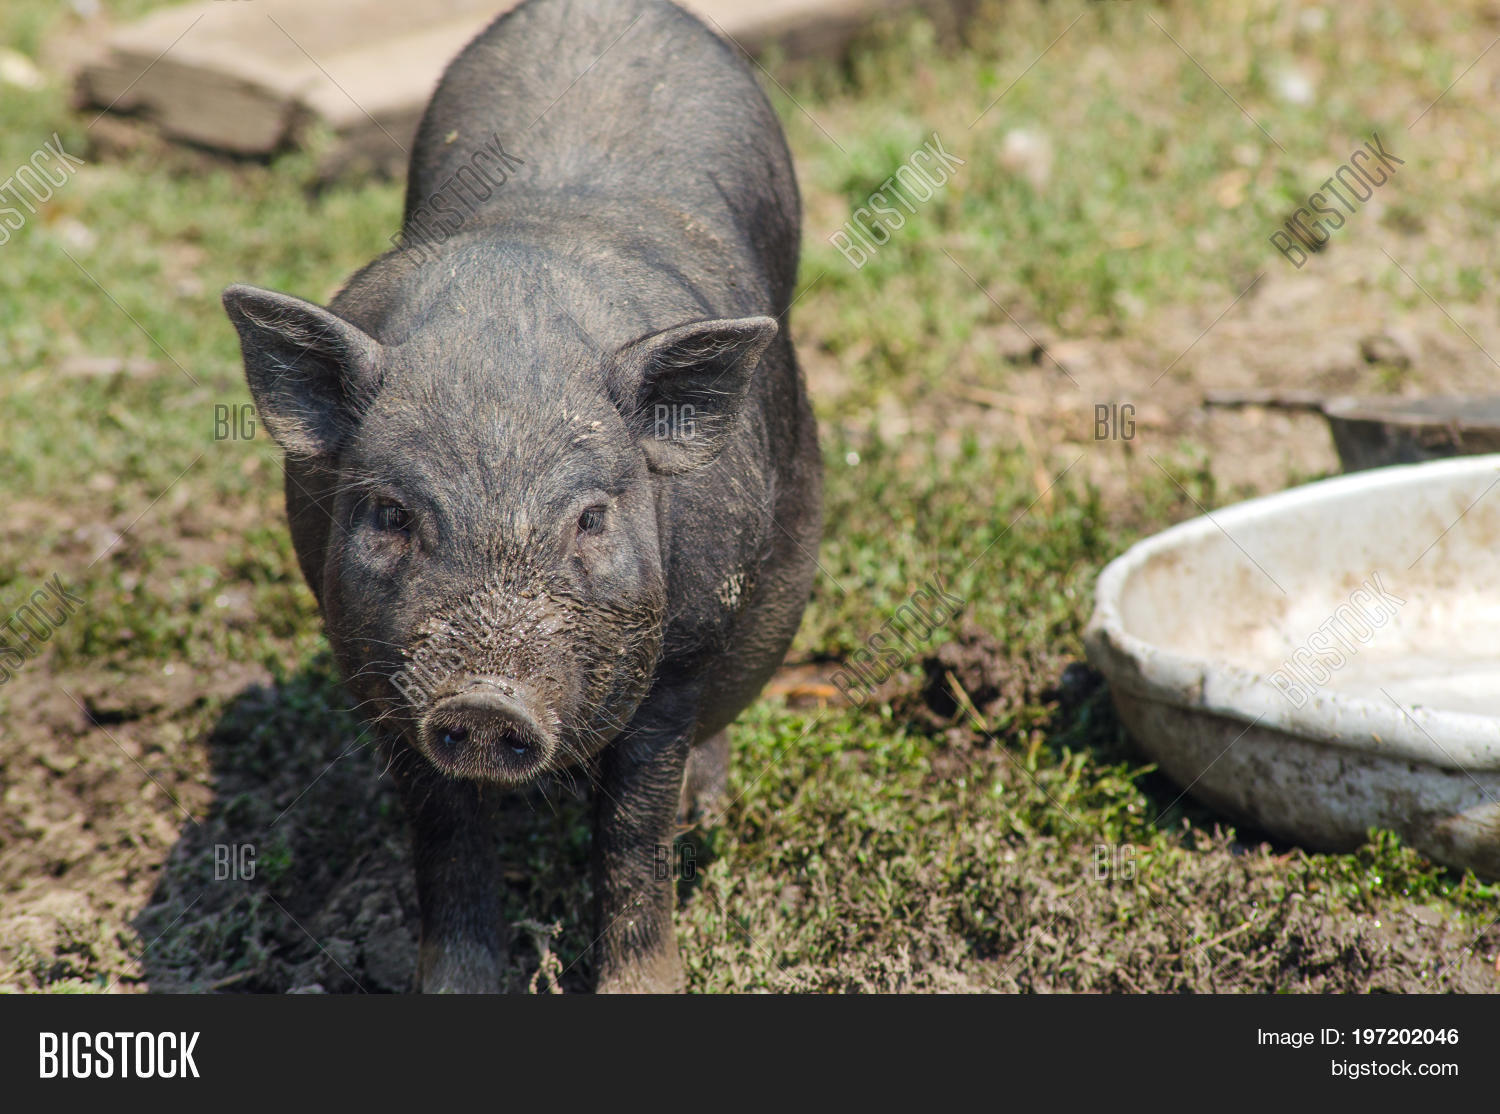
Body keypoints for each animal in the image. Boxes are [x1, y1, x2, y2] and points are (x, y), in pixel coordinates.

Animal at [222, 0, 821, 993]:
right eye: (394, 514)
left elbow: (634, 835)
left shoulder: (683, 655)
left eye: (591, 518)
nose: (486, 702)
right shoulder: (379, 672)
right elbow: (446, 839)